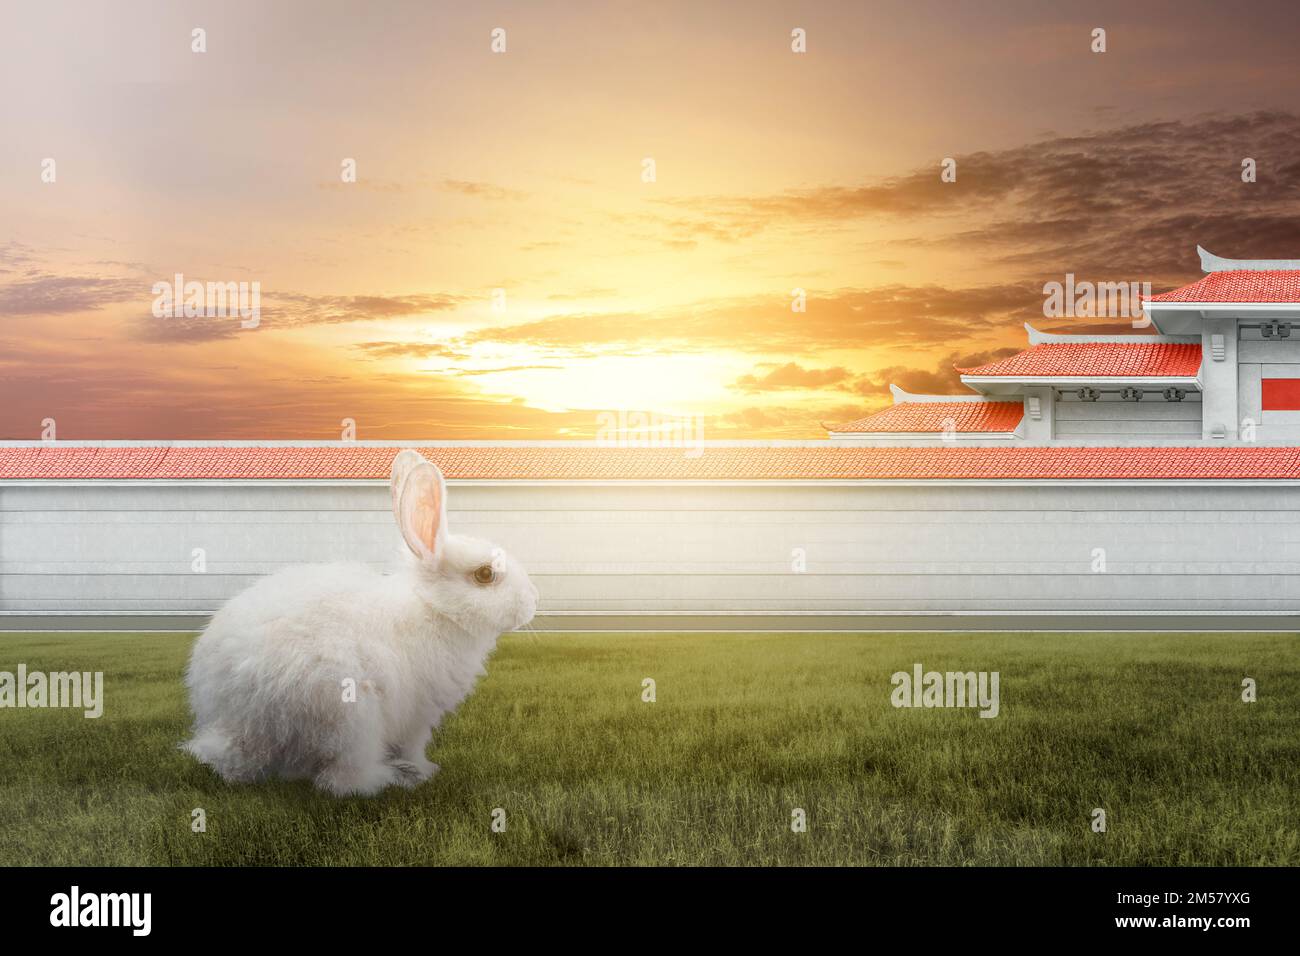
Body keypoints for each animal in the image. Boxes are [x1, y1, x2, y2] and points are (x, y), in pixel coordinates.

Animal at [181, 450, 539, 797]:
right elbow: (411, 748)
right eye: (485, 574)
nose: (532, 602)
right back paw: (390, 778)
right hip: (351, 717)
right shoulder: (416, 717)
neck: (432, 606)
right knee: (342, 781)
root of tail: (240, 729)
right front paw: (423, 770)